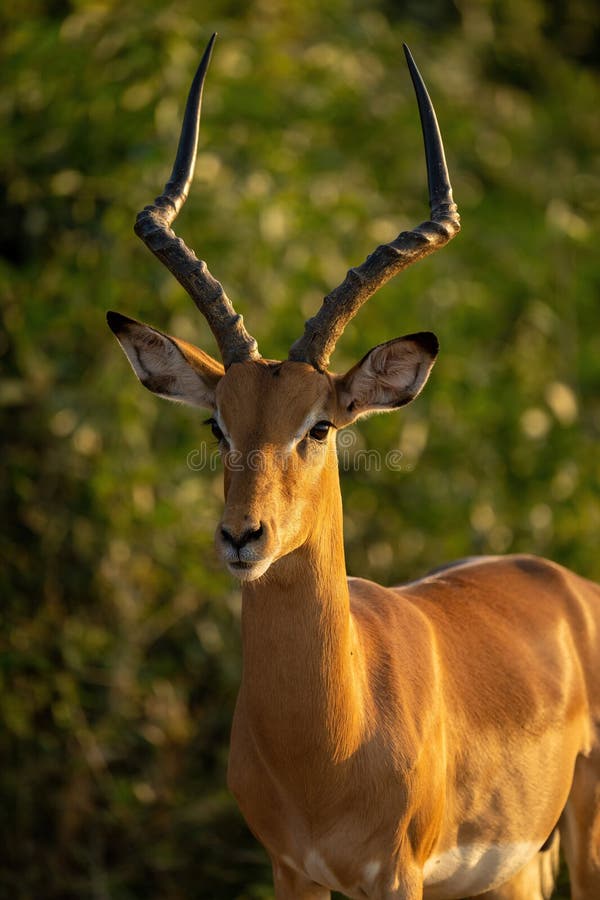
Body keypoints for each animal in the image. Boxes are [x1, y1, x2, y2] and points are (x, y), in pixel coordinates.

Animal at [107, 35, 600, 900]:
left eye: (320, 427)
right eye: (216, 422)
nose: (243, 537)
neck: (329, 740)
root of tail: (564, 582)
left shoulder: (394, 876)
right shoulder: (291, 871)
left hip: (584, 832)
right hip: (509, 872)